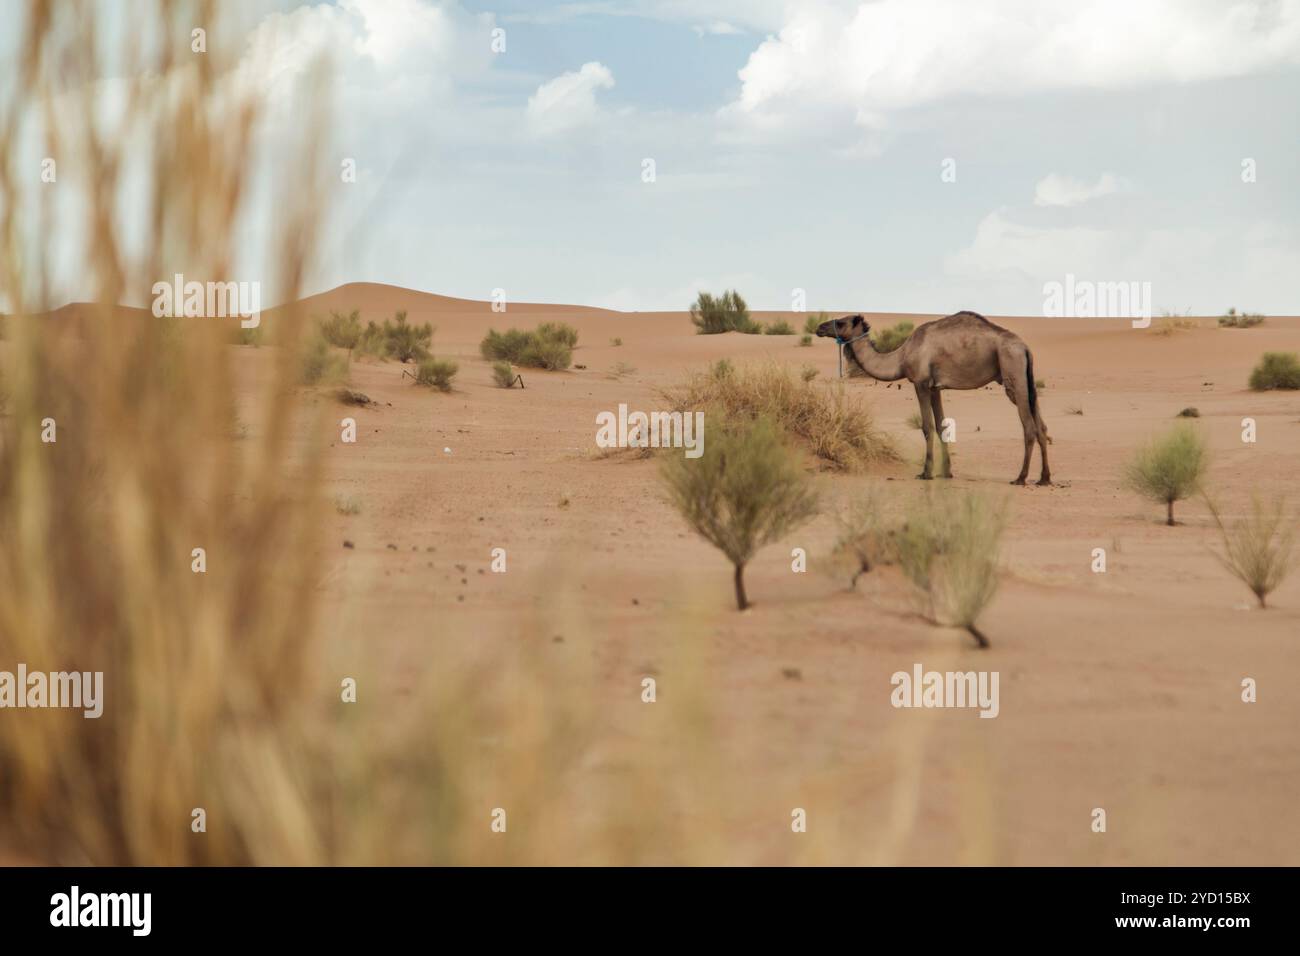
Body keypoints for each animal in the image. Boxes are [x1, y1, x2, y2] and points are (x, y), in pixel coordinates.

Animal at [816, 311, 1051, 485]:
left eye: (841, 321)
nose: (819, 327)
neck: (900, 357)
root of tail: (1025, 347)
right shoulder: (935, 387)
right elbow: (941, 426)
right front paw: (946, 472)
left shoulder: (920, 383)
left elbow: (927, 426)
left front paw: (926, 472)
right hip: (1027, 381)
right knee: (1041, 426)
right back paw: (1044, 478)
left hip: (1012, 372)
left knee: (1029, 426)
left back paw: (1021, 477)